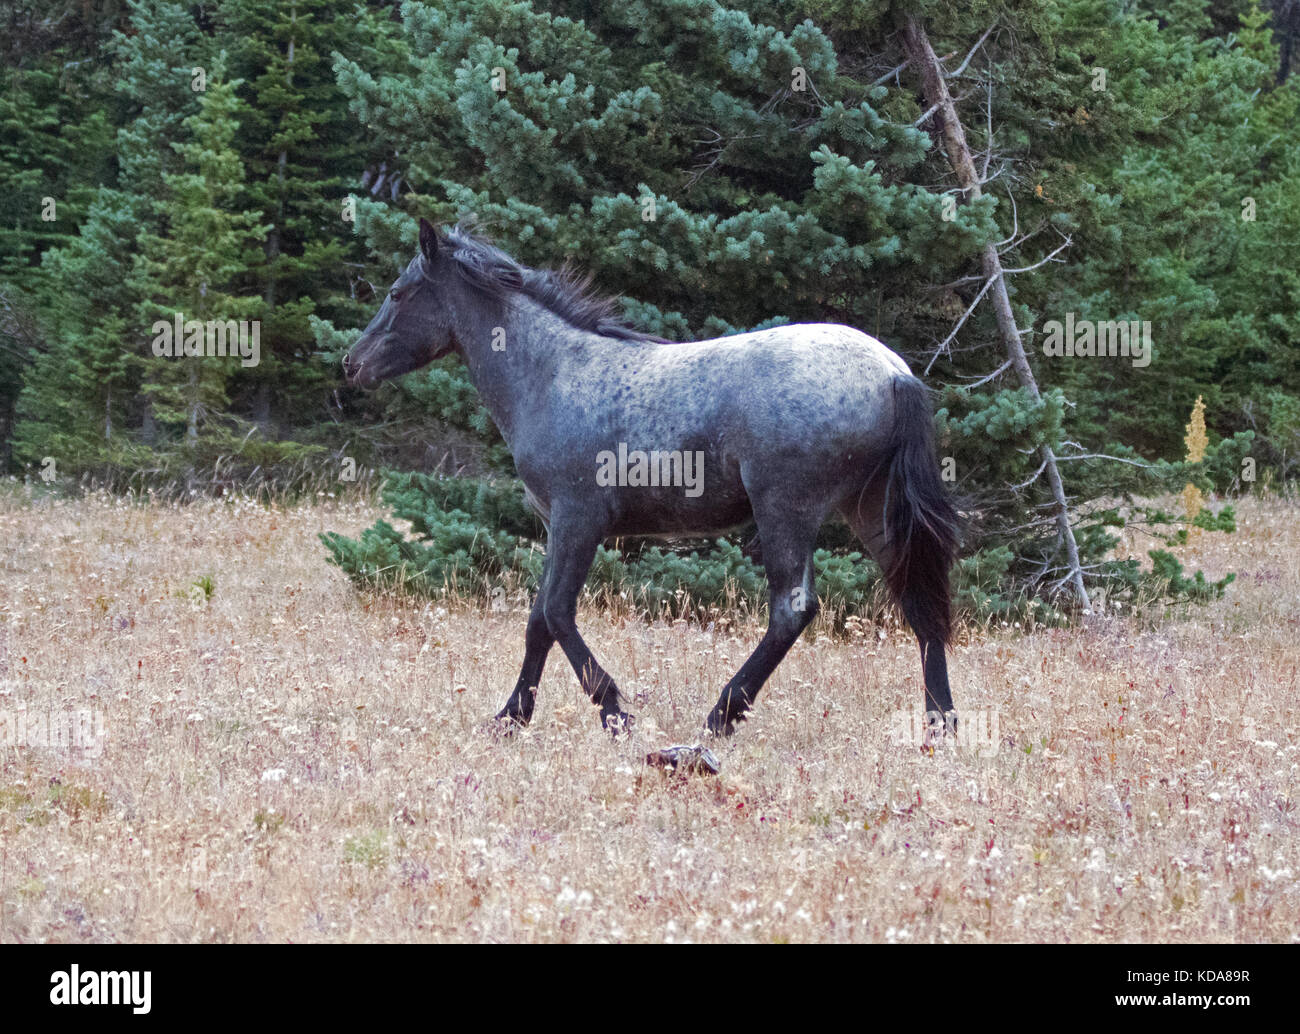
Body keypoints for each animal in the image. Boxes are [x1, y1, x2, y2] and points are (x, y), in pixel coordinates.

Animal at [343, 218, 960, 739]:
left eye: (398, 292)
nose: (352, 364)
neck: (552, 374)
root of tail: (894, 374)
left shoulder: (578, 518)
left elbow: (556, 613)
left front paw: (614, 713)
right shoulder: (557, 525)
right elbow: (537, 620)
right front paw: (511, 718)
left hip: (787, 508)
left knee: (793, 609)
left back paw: (719, 718)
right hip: (869, 508)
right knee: (919, 604)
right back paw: (941, 728)